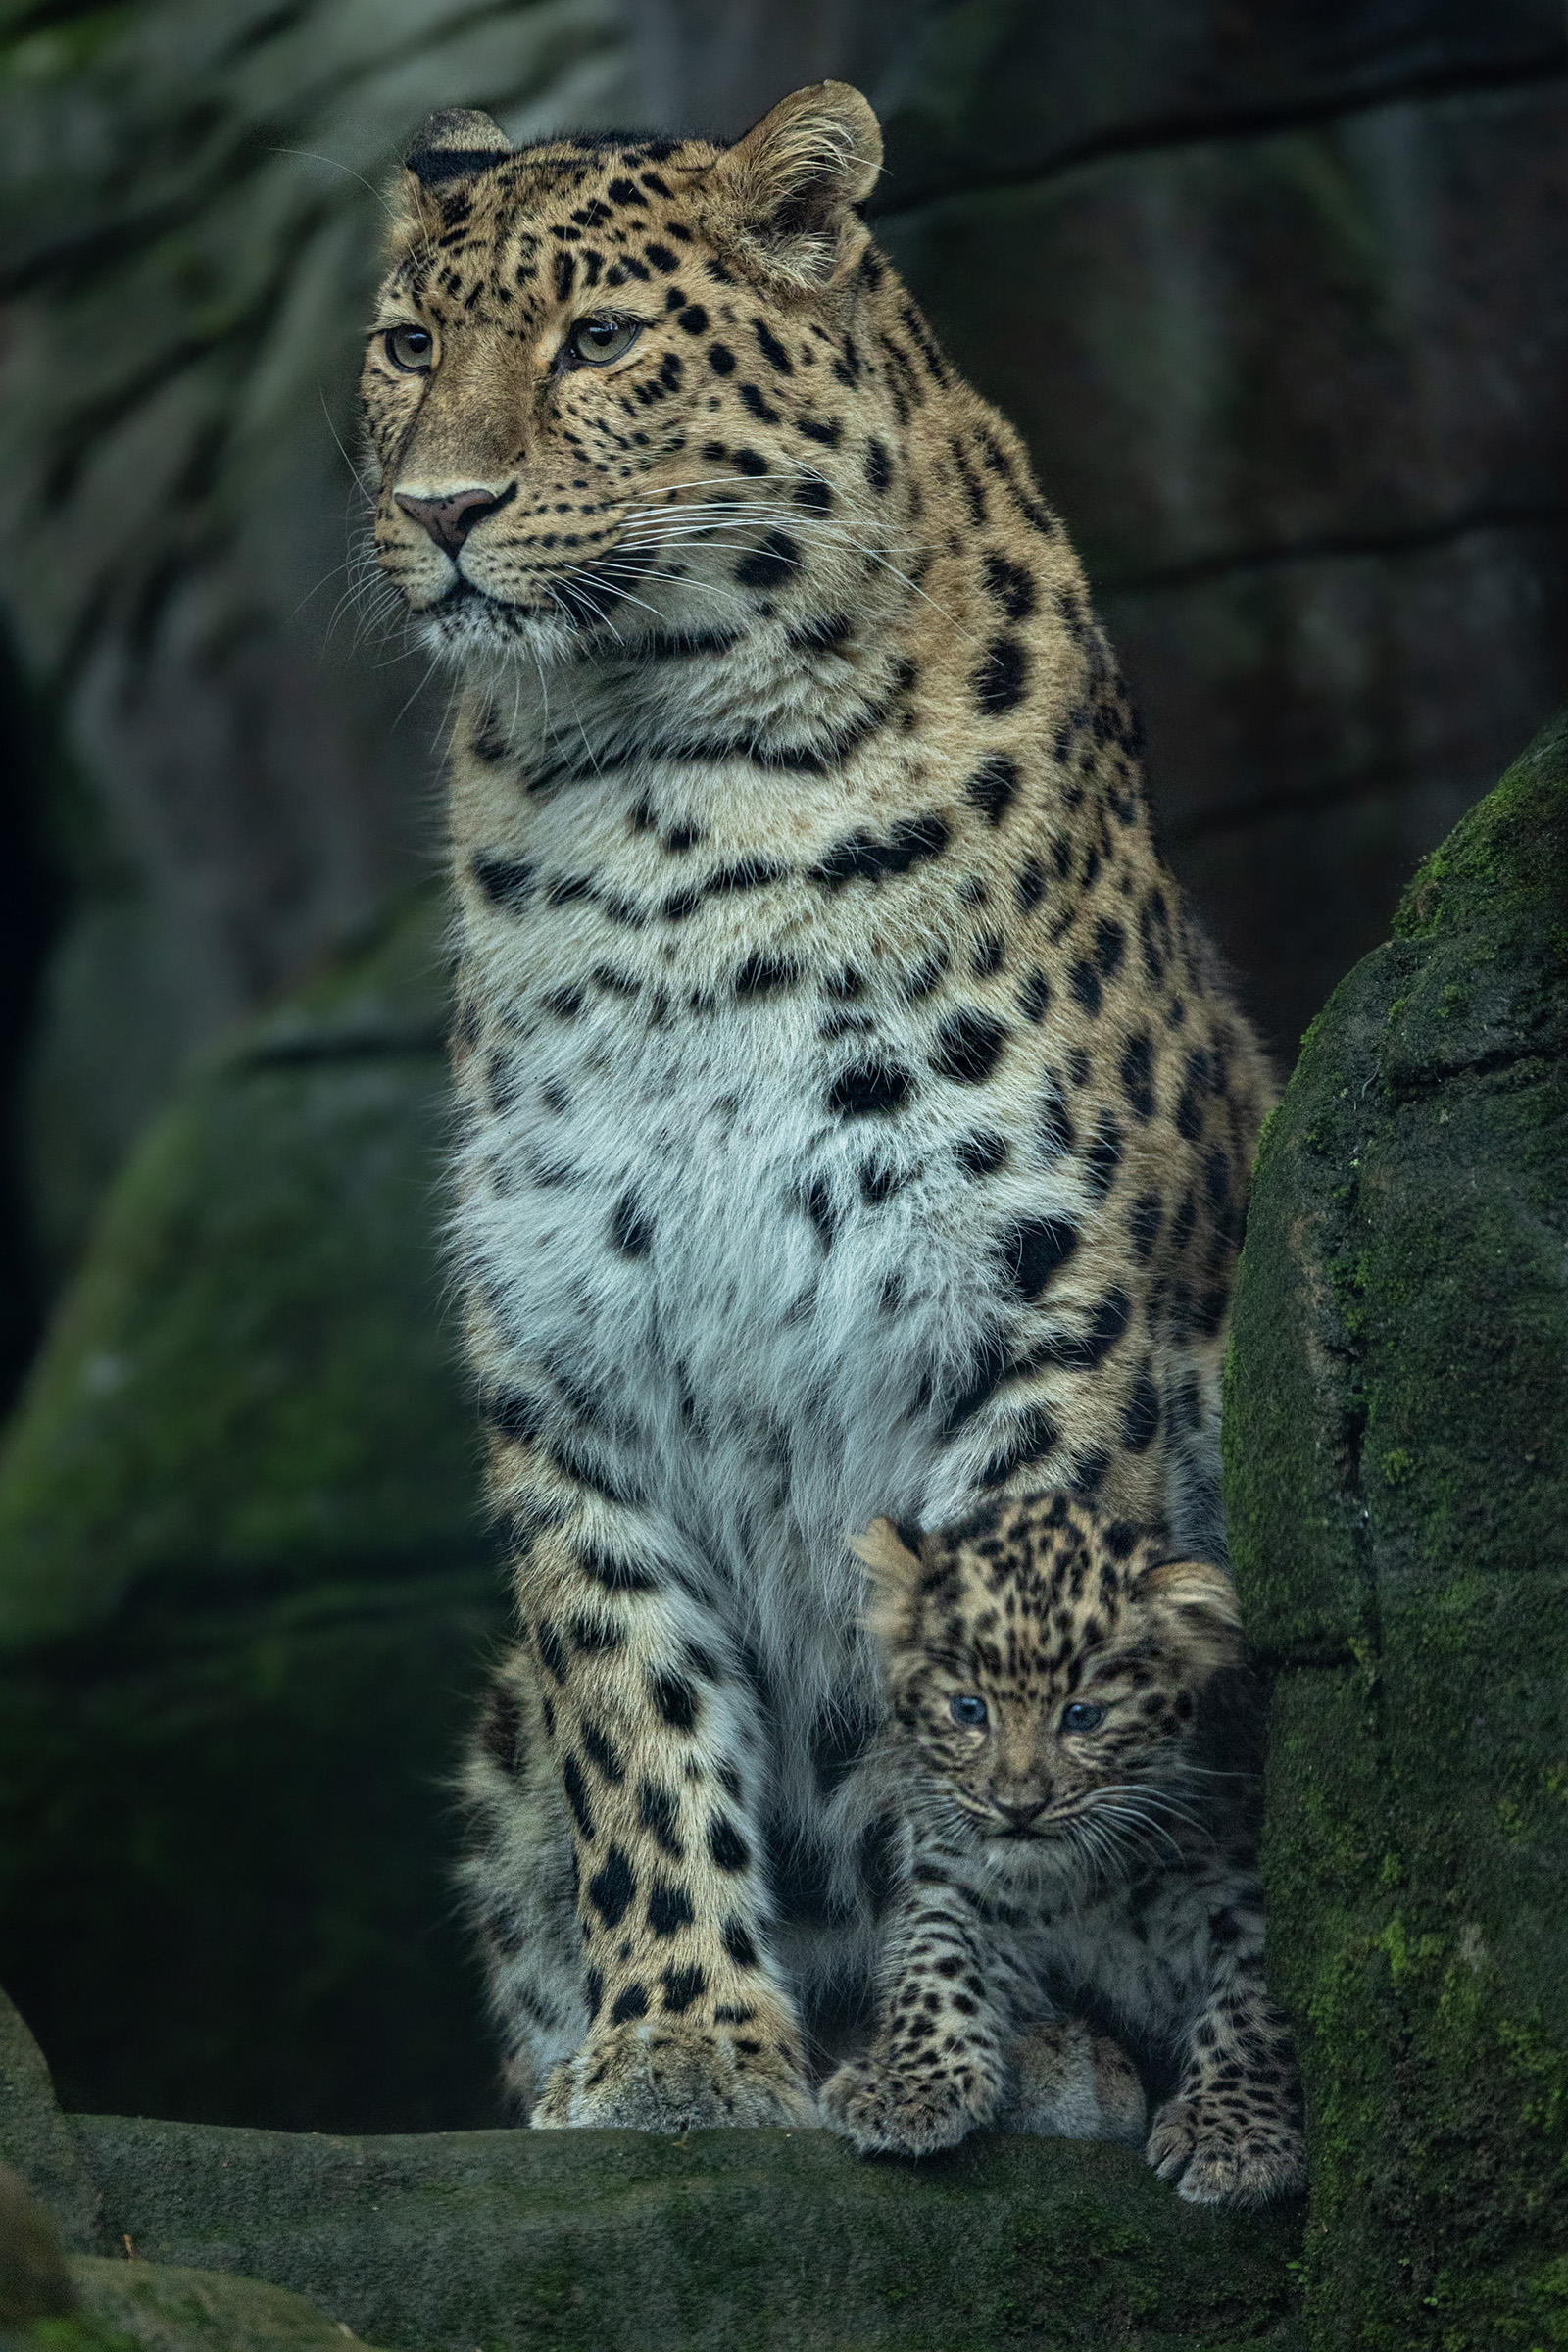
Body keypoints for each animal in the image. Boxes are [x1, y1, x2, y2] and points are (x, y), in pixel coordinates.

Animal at [359, 79, 1276, 2131]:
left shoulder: (1036, 1321)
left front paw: (1001, 2046)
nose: (439, 510)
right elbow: (634, 1718)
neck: (659, 797)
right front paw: (681, 2048)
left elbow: (991, 1680)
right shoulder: (575, 1354)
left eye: (598, 340)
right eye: (407, 347)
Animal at [821, 1495, 1305, 2205]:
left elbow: (1250, 2012)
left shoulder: (1244, 1892)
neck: (1086, 1884)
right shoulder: (953, 1869)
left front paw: (1234, 2136)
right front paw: (906, 2086)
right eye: (969, 1710)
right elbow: (936, 1960)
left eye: (1082, 1717)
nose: (1018, 1805)